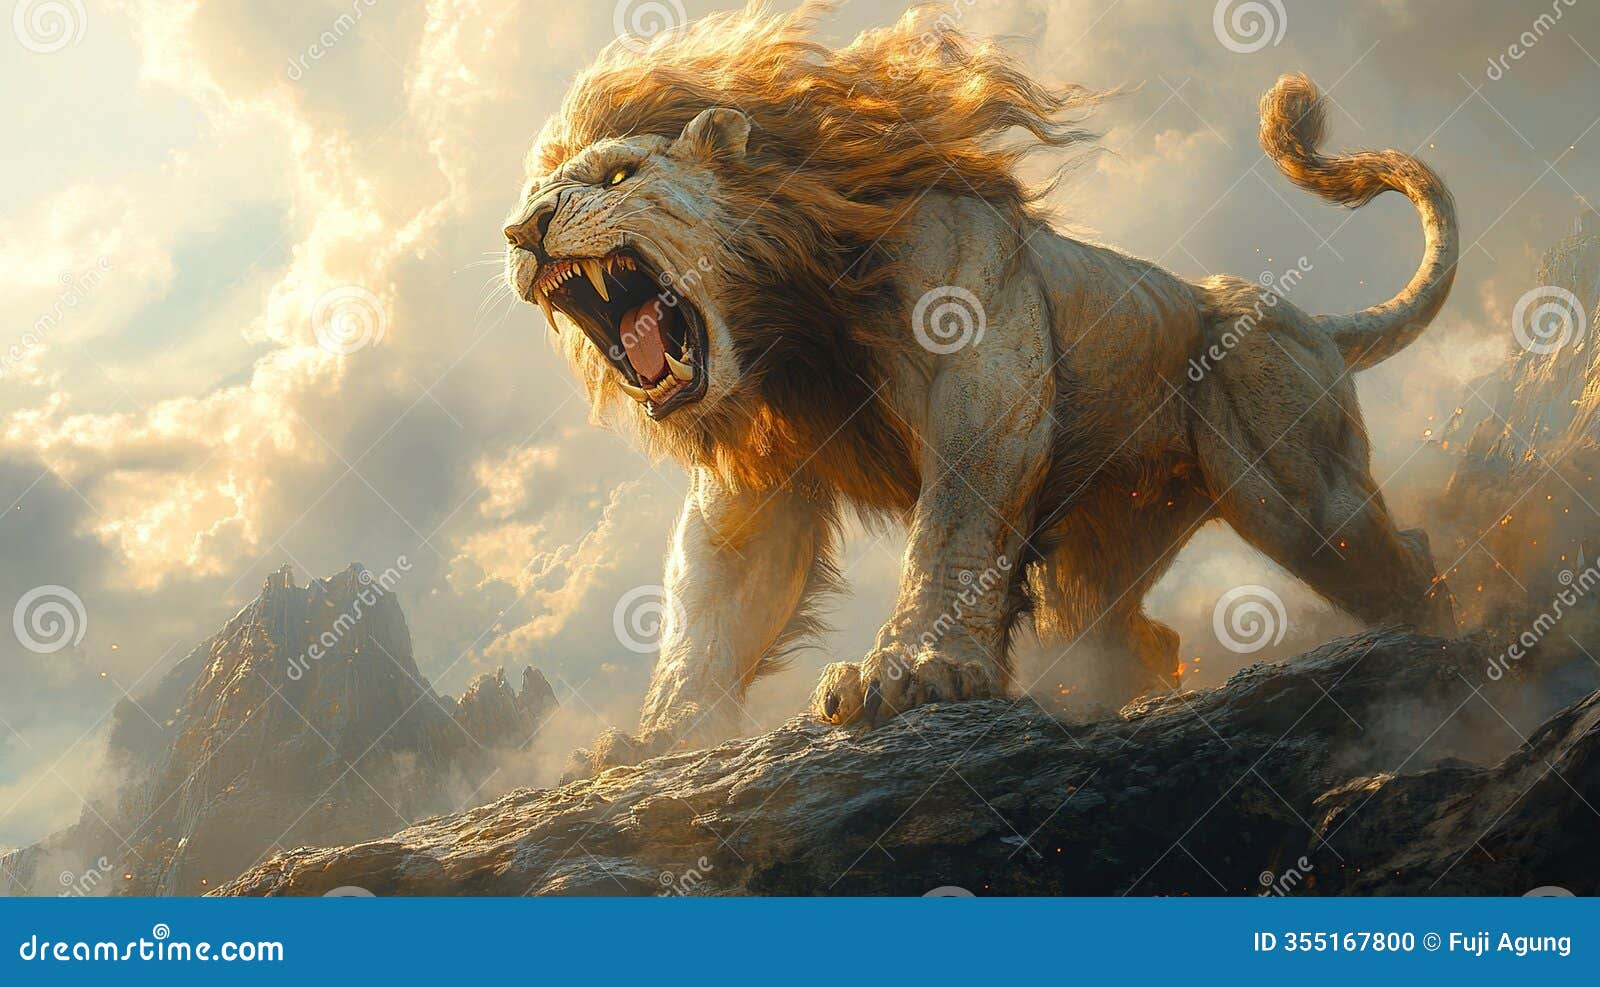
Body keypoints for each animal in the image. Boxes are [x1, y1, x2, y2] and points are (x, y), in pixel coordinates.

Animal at [503, 3, 1457, 770]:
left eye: (618, 177)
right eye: (531, 198)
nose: (523, 229)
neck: (786, 319)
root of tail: (1311, 318)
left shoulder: (978, 362)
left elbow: (952, 524)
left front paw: (908, 672)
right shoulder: (756, 481)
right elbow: (716, 602)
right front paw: (662, 736)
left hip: (1301, 490)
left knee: (1398, 554)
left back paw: (1443, 654)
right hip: (1104, 548)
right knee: (1133, 638)